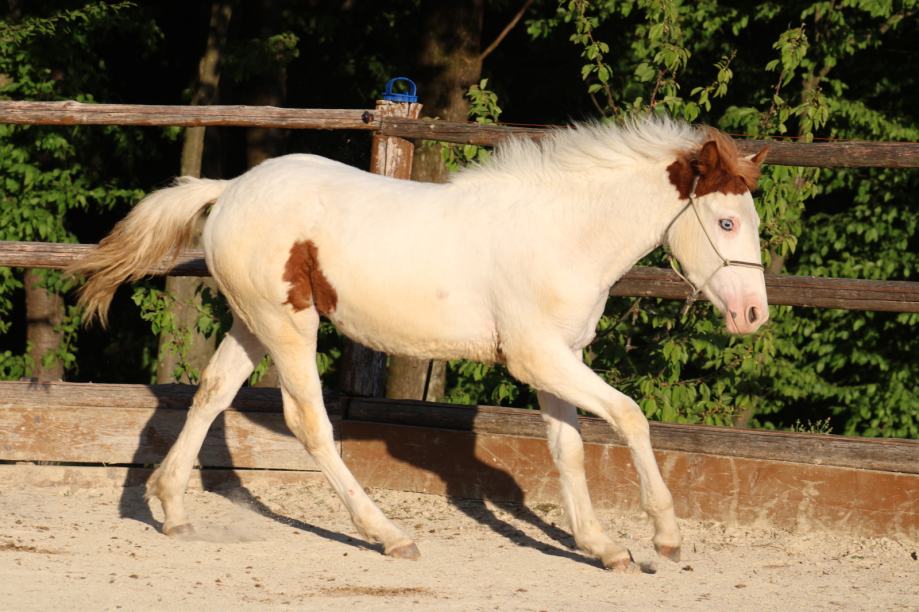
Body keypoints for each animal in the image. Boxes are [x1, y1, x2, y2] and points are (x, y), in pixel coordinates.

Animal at [71, 115, 768, 571]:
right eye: (726, 222)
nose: (753, 314)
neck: (561, 234)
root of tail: (230, 190)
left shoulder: (559, 360)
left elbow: (567, 449)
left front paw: (601, 547)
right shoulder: (537, 357)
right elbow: (630, 417)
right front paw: (665, 538)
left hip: (252, 323)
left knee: (210, 395)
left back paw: (171, 510)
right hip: (289, 326)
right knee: (310, 424)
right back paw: (389, 535)